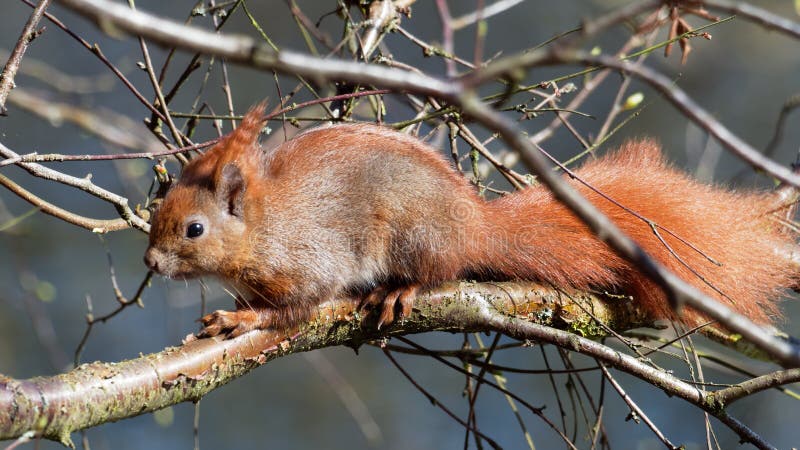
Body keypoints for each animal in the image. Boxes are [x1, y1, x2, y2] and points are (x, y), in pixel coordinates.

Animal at [144, 104, 798, 338]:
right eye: (159, 207)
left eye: (194, 229)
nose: (149, 260)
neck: (264, 228)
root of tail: (474, 225)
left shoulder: (311, 257)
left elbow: (297, 306)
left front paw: (238, 318)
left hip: (413, 236)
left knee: (436, 271)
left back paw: (401, 289)